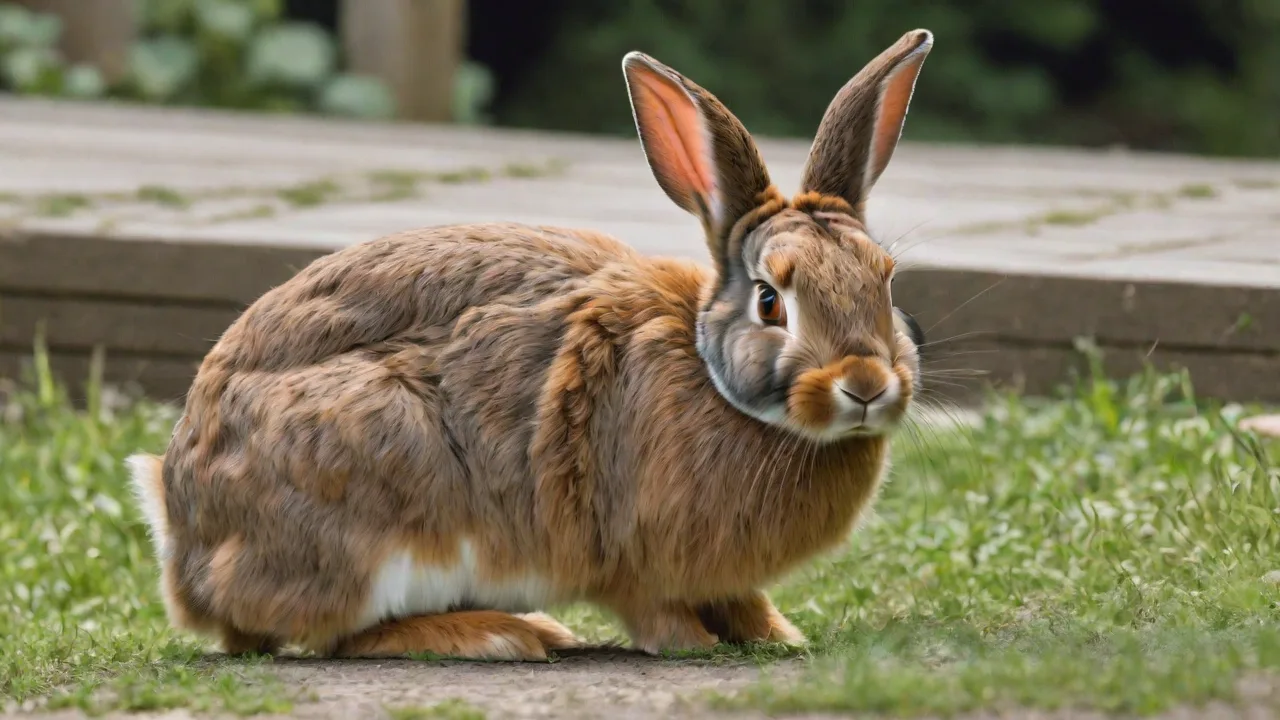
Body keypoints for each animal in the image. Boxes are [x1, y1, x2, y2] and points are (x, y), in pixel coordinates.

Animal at [127, 28, 933, 661]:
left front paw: (776, 634)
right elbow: (653, 608)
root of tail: (187, 544)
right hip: (375, 503)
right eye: (772, 301)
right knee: (336, 636)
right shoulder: (630, 556)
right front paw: (692, 644)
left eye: (885, 282)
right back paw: (502, 633)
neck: (713, 380)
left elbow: (743, 600)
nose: (866, 383)